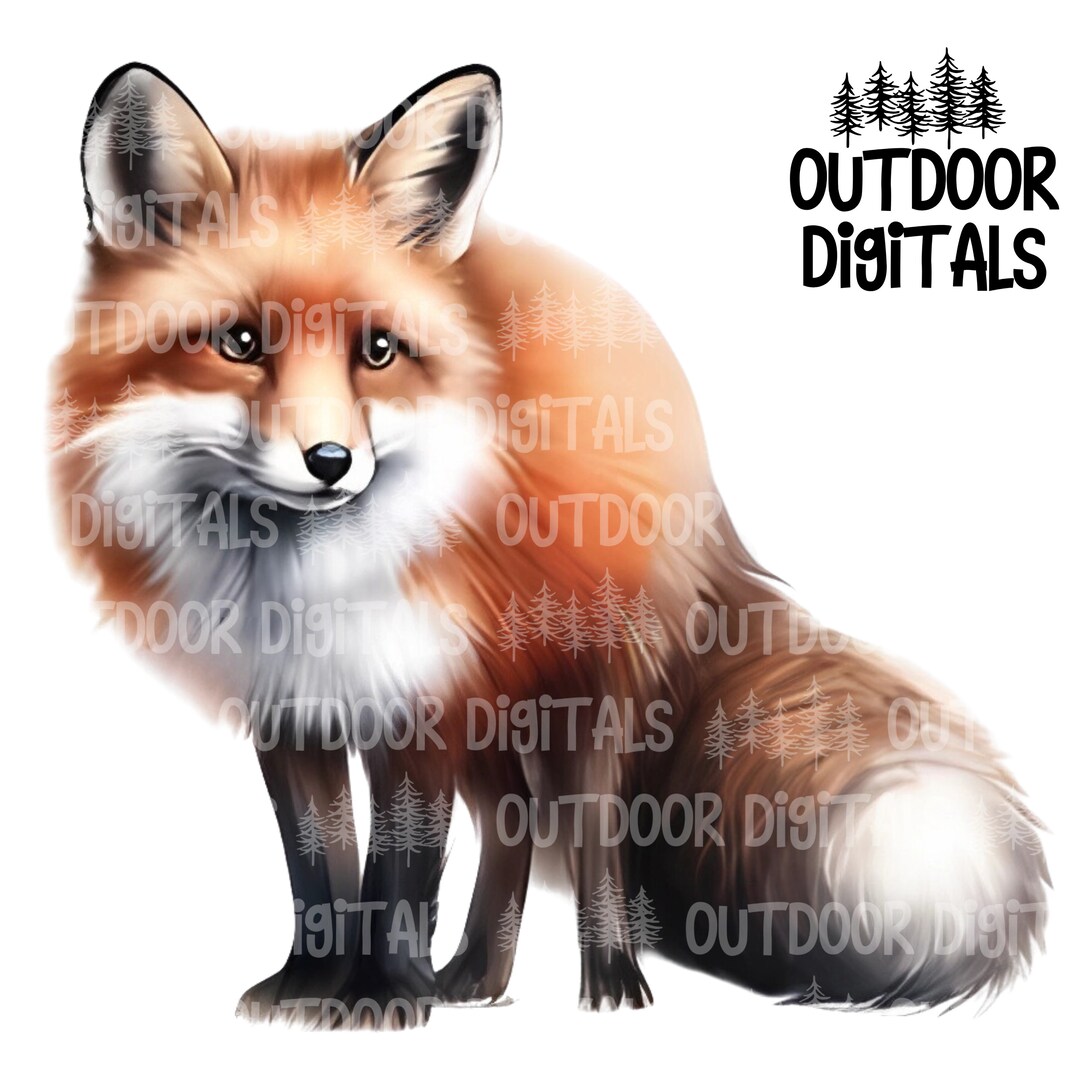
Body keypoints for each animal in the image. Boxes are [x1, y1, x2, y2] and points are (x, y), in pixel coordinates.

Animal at [52, 62, 1048, 1028]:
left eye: (379, 352)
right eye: (239, 341)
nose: (331, 463)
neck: (309, 582)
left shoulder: (423, 693)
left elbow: (401, 870)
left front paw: (377, 995)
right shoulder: (295, 703)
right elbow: (317, 865)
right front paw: (309, 987)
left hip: (583, 696)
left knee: (597, 837)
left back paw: (608, 983)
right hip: (503, 704)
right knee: (518, 820)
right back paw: (476, 977)